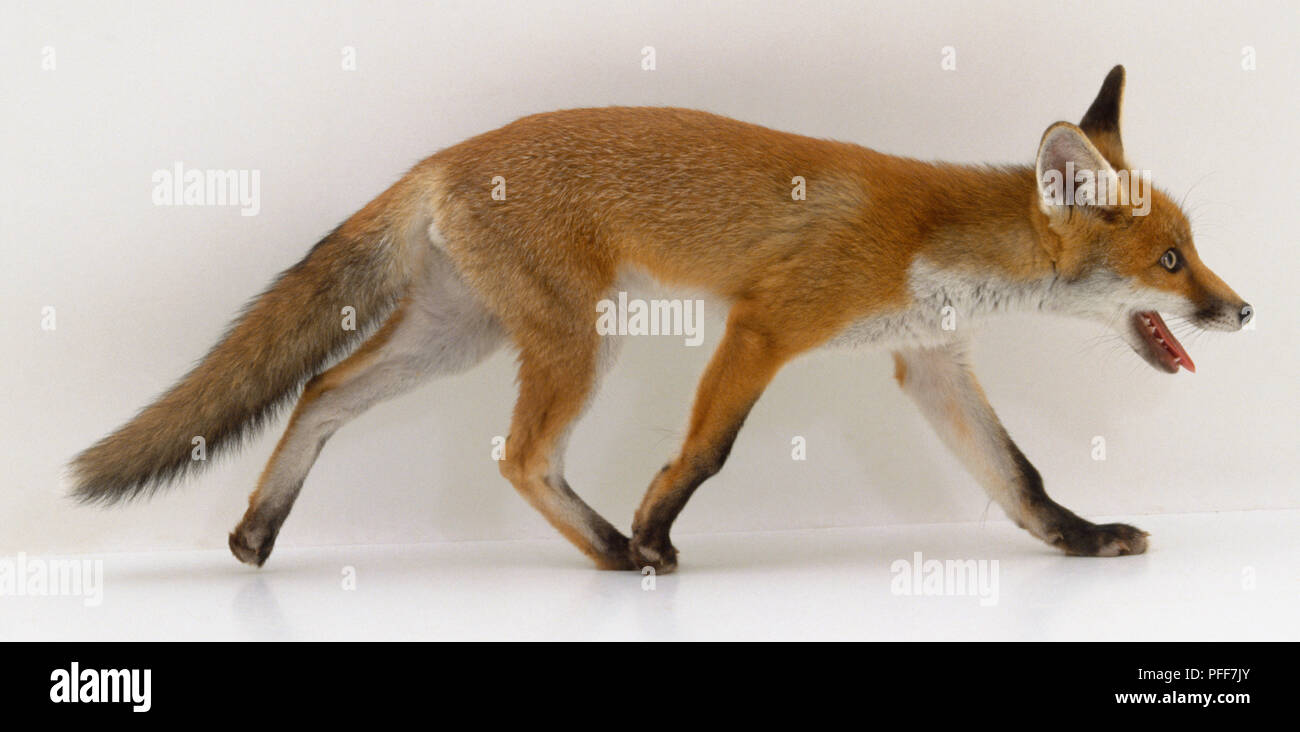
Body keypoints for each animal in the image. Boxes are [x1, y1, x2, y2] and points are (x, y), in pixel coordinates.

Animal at [68, 66, 1251, 572]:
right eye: (1169, 260)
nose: (1240, 309)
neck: (939, 243)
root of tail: (439, 160)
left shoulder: (931, 363)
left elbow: (1020, 480)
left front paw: (1082, 539)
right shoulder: (766, 325)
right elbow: (706, 453)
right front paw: (652, 528)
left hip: (461, 338)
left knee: (317, 390)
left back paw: (256, 532)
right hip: (576, 341)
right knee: (521, 457)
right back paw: (610, 551)